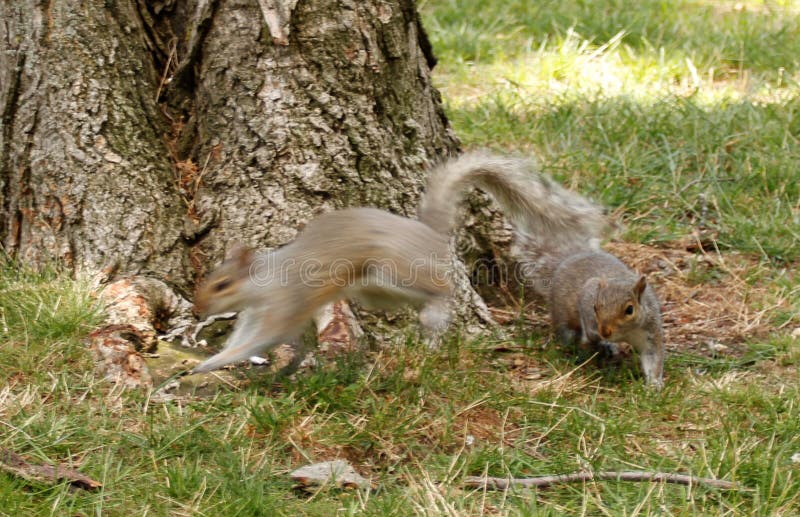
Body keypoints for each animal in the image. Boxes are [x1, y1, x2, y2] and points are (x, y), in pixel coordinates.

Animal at [191, 151, 606, 374]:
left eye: (222, 285)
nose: (198, 310)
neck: (264, 281)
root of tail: (429, 232)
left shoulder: (283, 303)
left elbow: (265, 337)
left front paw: (207, 365)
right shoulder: (254, 313)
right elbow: (246, 338)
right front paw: (215, 359)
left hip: (394, 272)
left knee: (442, 288)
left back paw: (436, 316)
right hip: (376, 292)